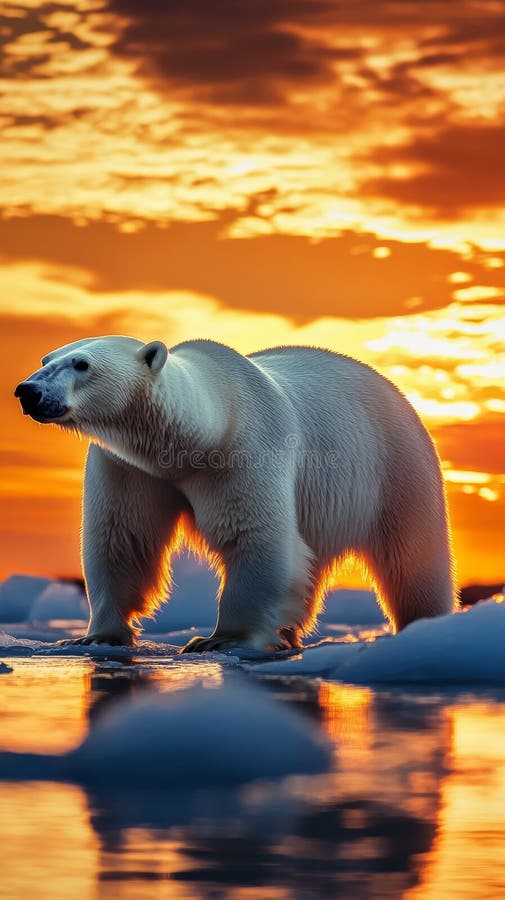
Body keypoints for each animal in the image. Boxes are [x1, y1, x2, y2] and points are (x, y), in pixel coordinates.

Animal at [15, 336, 457, 651]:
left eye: (82, 363)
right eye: (45, 359)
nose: (27, 390)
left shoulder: (245, 448)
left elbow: (253, 535)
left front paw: (218, 638)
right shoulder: (129, 467)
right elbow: (122, 538)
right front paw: (96, 635)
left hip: (396, 466)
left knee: (415, 556)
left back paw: (425, 624)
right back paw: (288, 634)